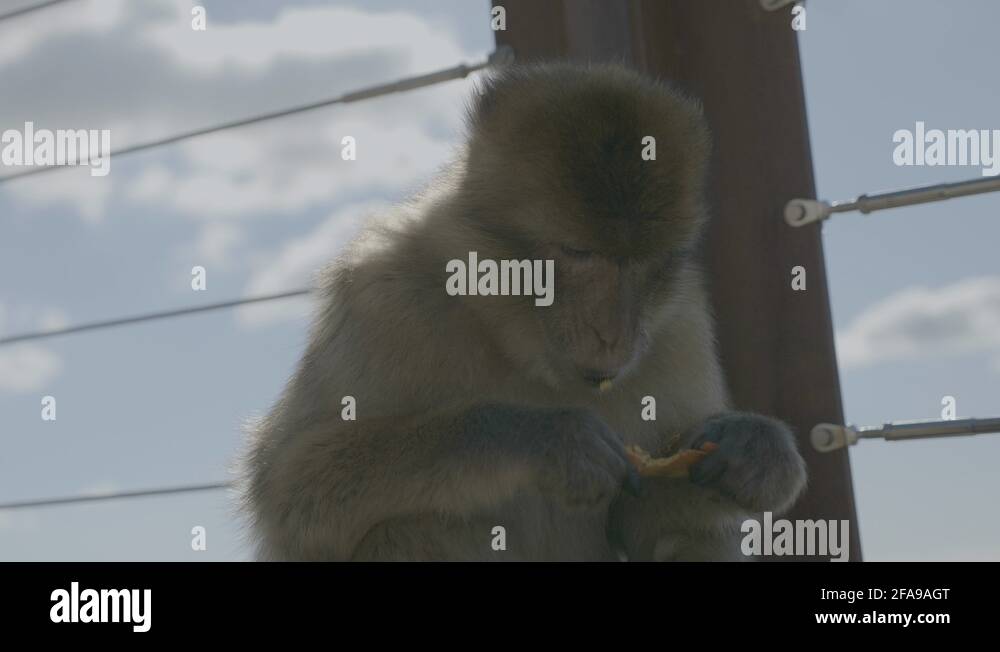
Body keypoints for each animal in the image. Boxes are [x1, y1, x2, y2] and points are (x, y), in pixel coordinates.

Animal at [240, 62, 807, 561]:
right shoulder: (379, 299)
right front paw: (537, 438)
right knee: (411, 525)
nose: (613, 334)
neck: (505, 337)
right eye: (580, 253)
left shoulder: (680, 327)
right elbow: (290, 492)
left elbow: (650, 511)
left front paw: (754, 447)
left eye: (645, 262)